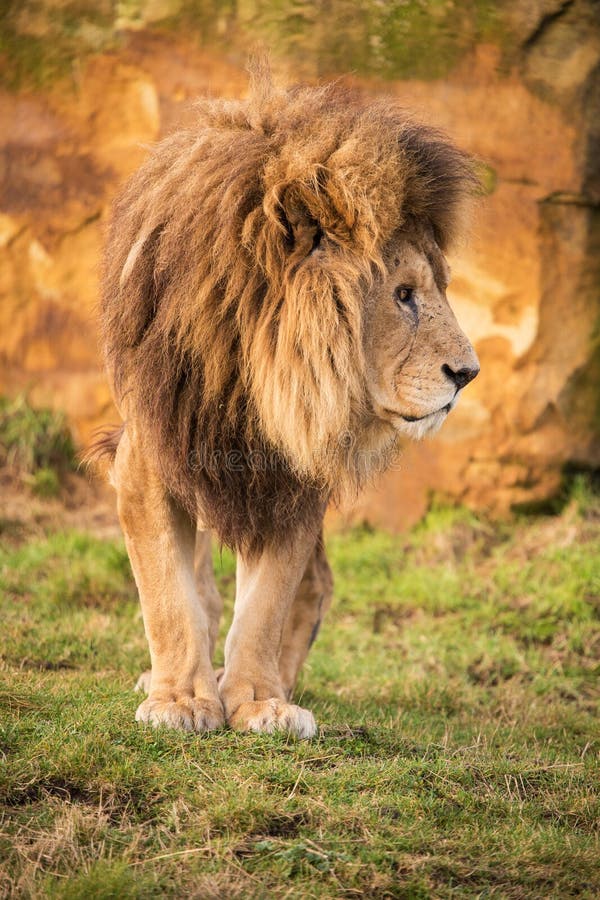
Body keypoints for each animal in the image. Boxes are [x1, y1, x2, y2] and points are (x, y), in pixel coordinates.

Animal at [97, 68, 480, 738]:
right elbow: (170, 593)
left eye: (434, 289)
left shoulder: (295, 477)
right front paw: (181, 699)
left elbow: (267, 603)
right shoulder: (149, 458)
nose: (468, 374)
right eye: (403, 293)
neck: (252, 371)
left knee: (314, 582)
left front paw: (259, 700)